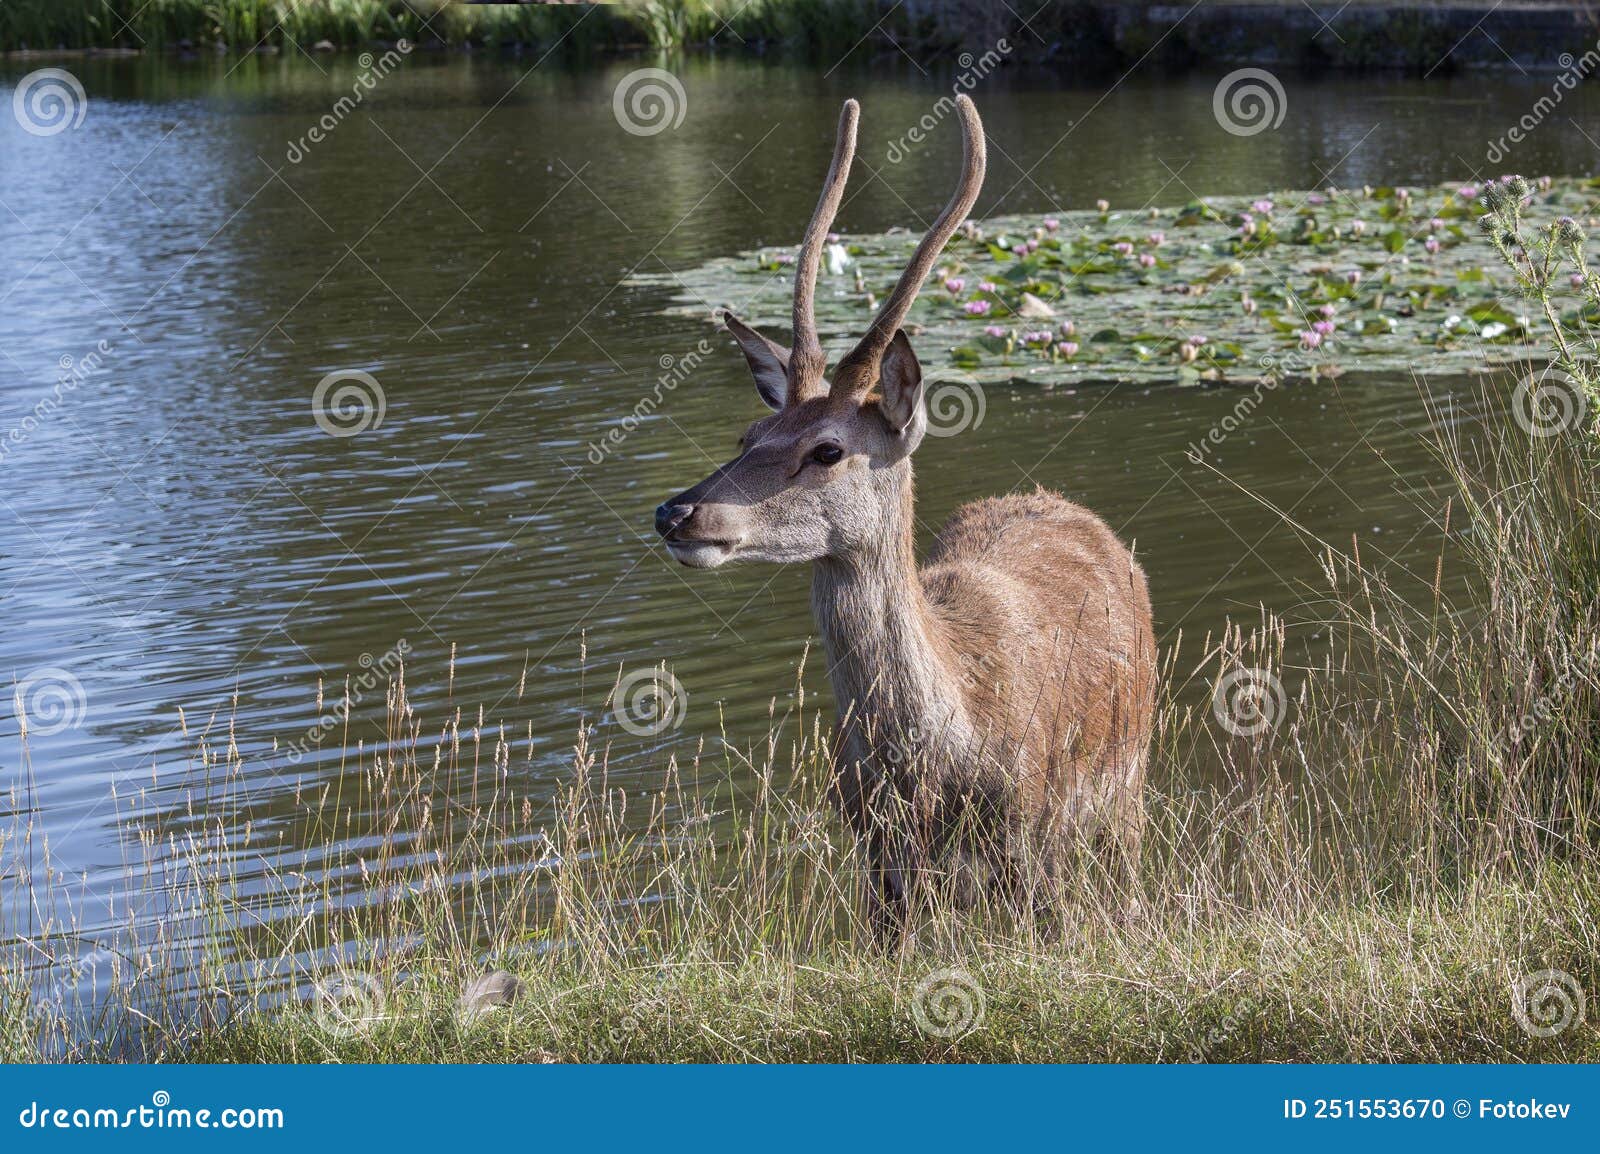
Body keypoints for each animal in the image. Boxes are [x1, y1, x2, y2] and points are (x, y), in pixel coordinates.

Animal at [653, 95, 1156, 944]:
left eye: (827, 449)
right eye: (748, 436)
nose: (676, 510)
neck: (934, 762)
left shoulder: (1032, 828)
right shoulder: (873, 847)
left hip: (1128, 780)